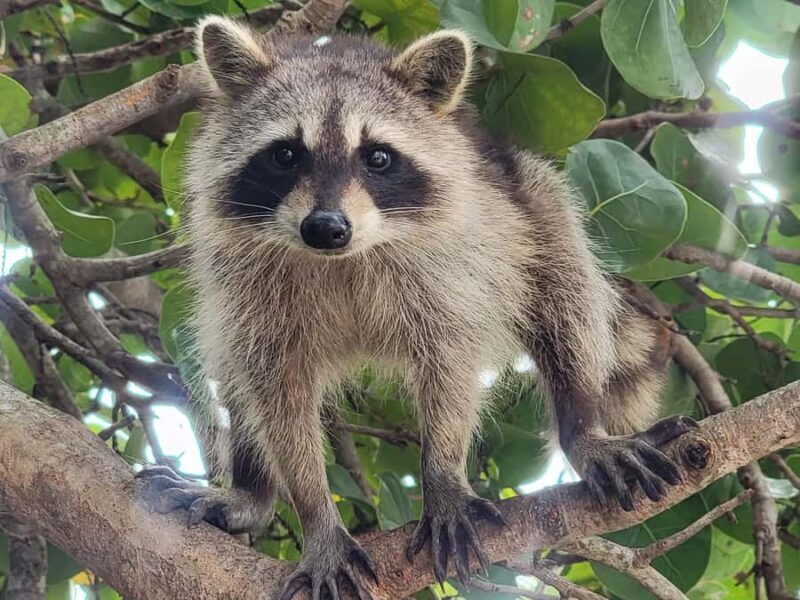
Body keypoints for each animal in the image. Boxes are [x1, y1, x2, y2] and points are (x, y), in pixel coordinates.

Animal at [138, 16, 696, 599]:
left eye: (378, 157)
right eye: (286, 154)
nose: (326, 227)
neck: (344, 257)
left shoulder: (451, 271)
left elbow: (450, 365)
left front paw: (444, 475)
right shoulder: (247, 286)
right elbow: (276, 392)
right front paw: (316, 514)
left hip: (536, 202)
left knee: (568, 303)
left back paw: (582, 426)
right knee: (233, 367)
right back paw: (253, 491)